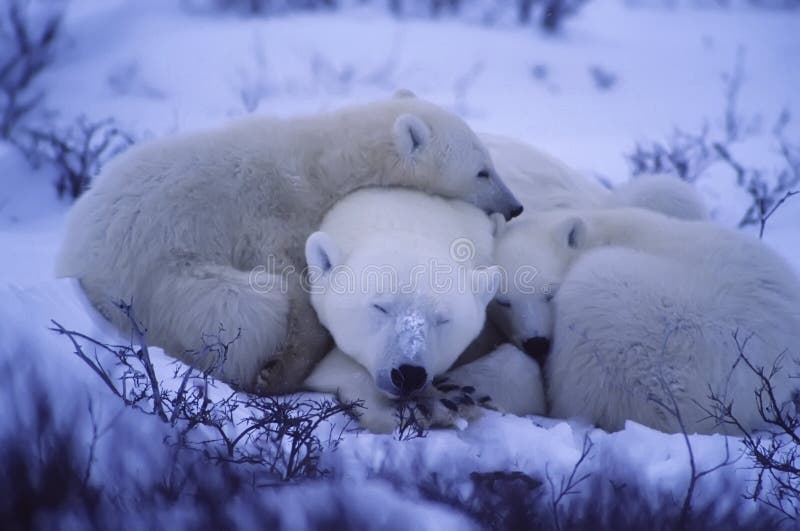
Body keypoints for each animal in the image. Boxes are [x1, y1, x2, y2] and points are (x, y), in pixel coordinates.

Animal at [55, 92, 523, 394]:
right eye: (482, 170)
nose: (516, 206)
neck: (323, 162)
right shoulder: (275, 216)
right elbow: (295, 292)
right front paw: (280, 373)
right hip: (163, 290)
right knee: (253, 307)